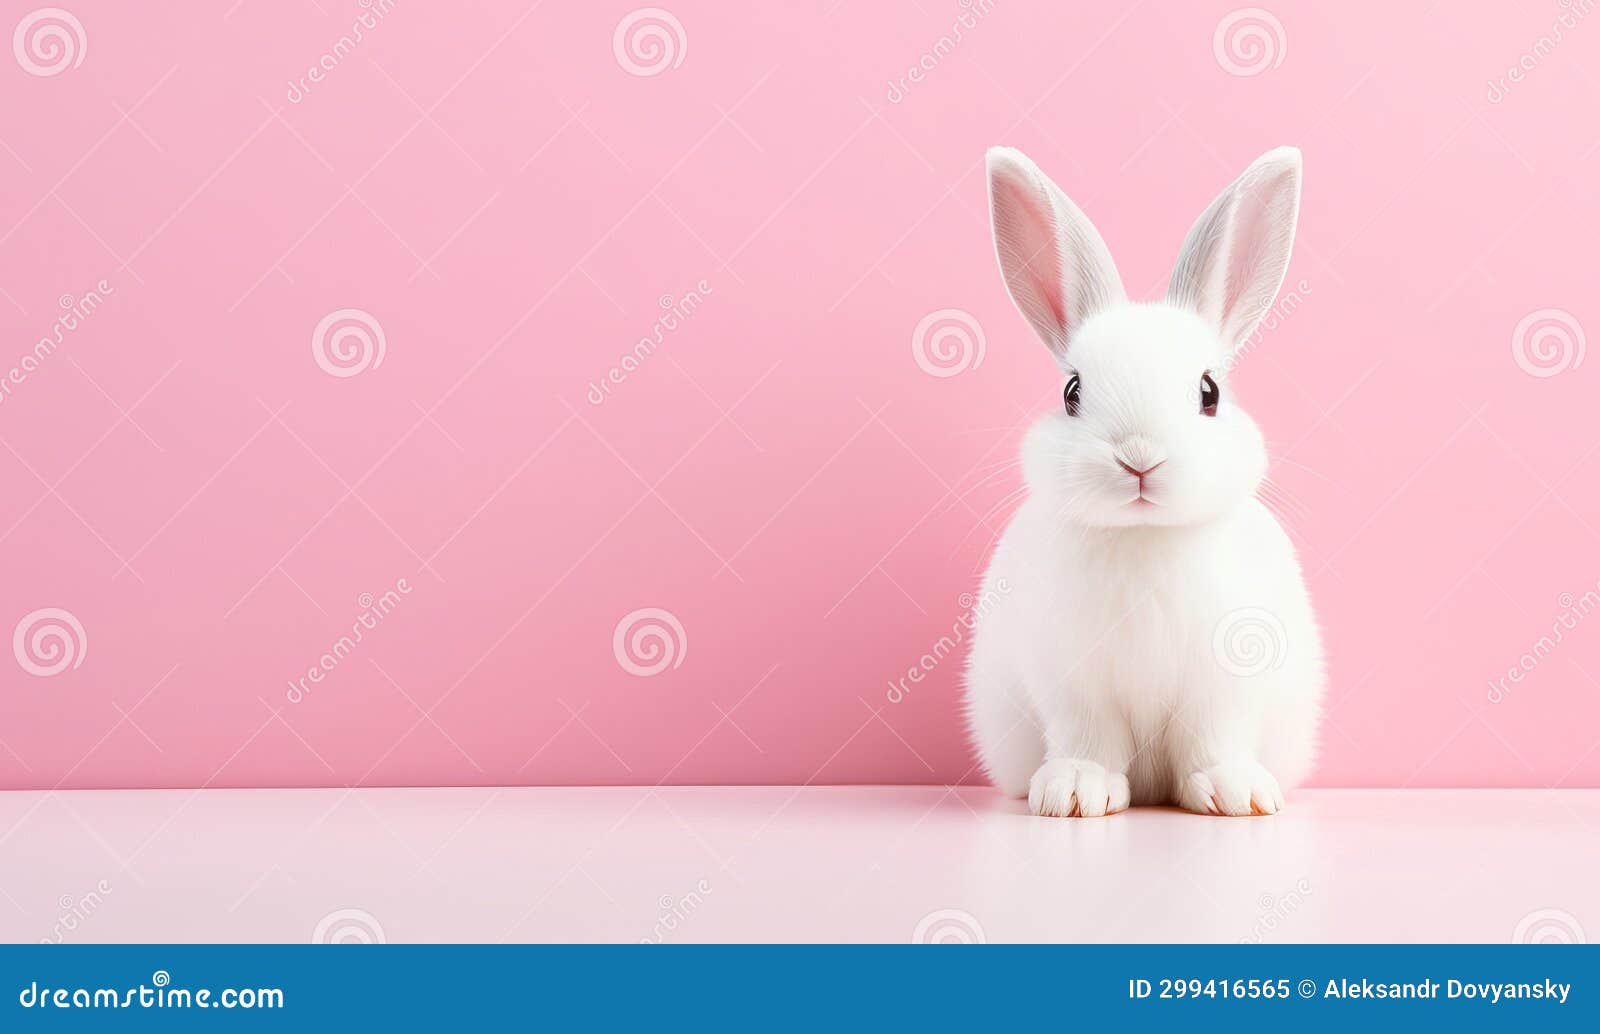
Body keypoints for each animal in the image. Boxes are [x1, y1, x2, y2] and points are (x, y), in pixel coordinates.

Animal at [963, 145, 1324, 817]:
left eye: (1209, 393)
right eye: (1071, 392)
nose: (1139, 458)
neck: (1143, 535)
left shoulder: (1225, 682)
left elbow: (1214, 740)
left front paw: (1236, 794)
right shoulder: (1074, 686)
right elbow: (1089, 740)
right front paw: (1076, 793)